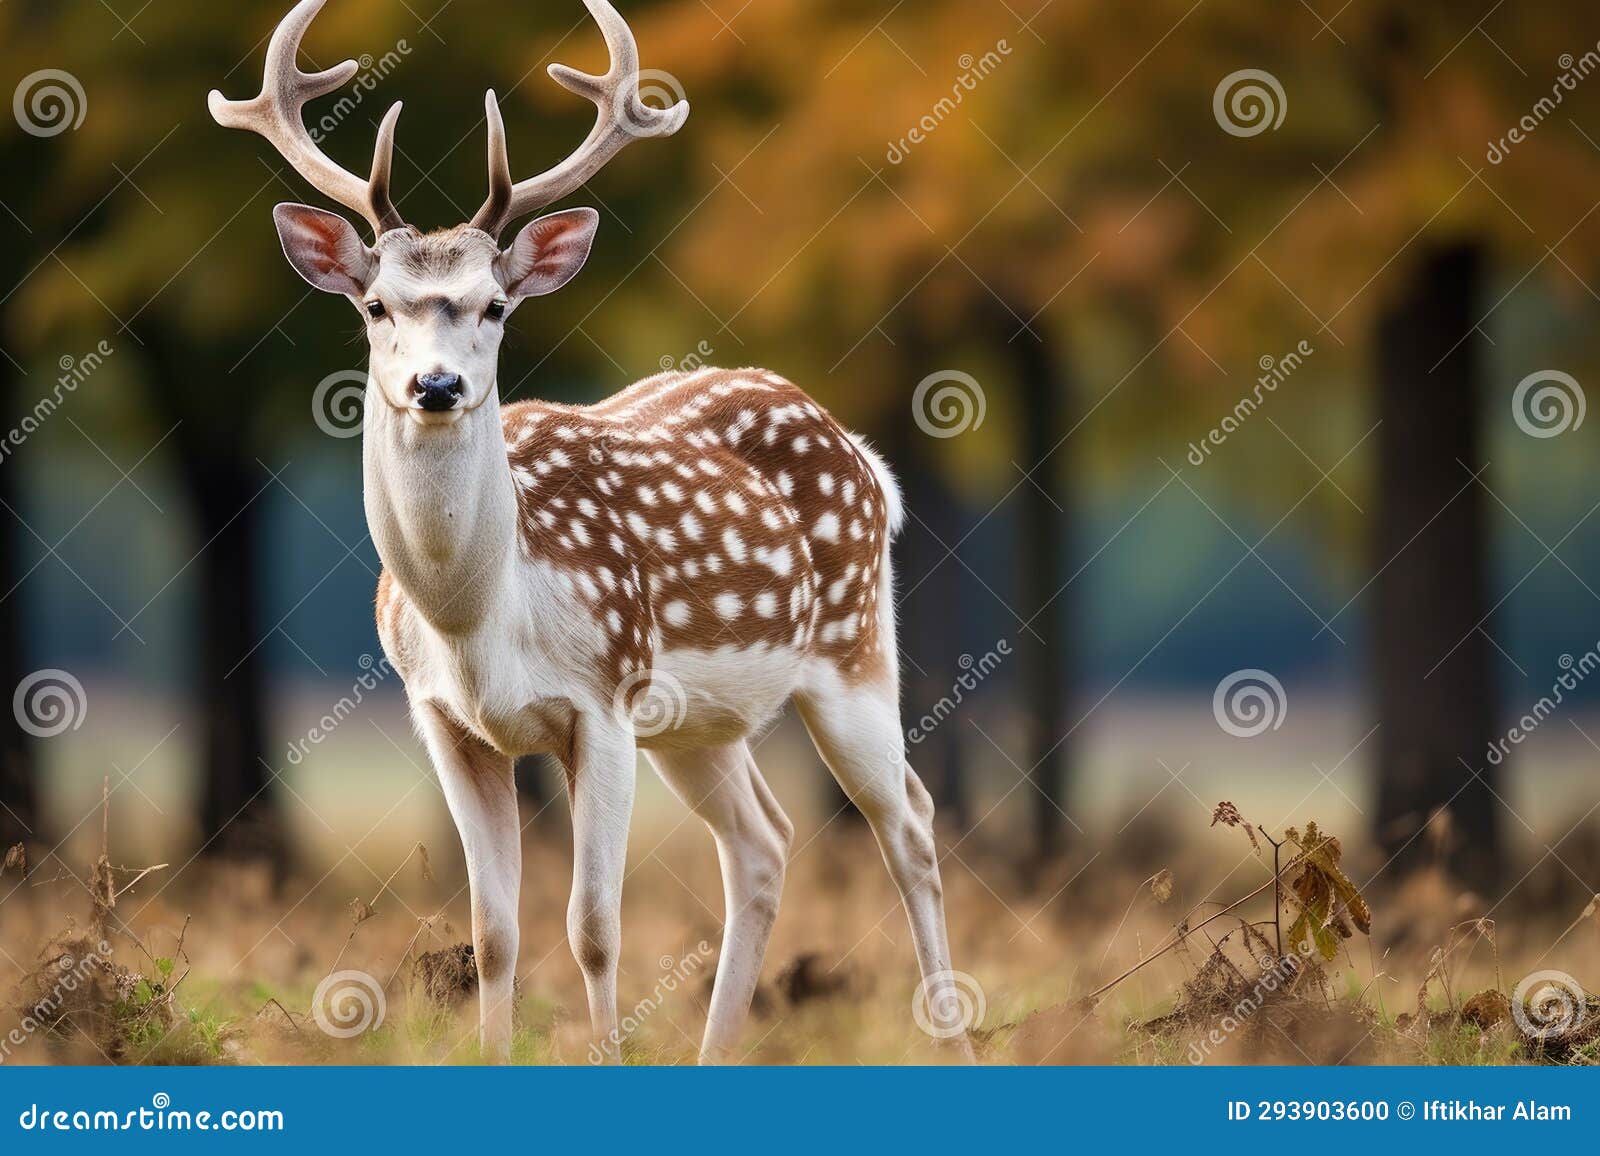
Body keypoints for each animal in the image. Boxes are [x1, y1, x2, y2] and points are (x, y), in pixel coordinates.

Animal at [210, 0, 970, 1063]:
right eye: (374, 305)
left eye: (494, 304)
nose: (436, 384)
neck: (477, 620)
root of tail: (865, 457)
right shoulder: (444, 720)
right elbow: (493, 932)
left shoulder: (603, 701)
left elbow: (594, 927)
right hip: (698, 721)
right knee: (764, 842)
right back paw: (716, 1054)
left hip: (852, 651)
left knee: (909, 823)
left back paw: (955, 1039)